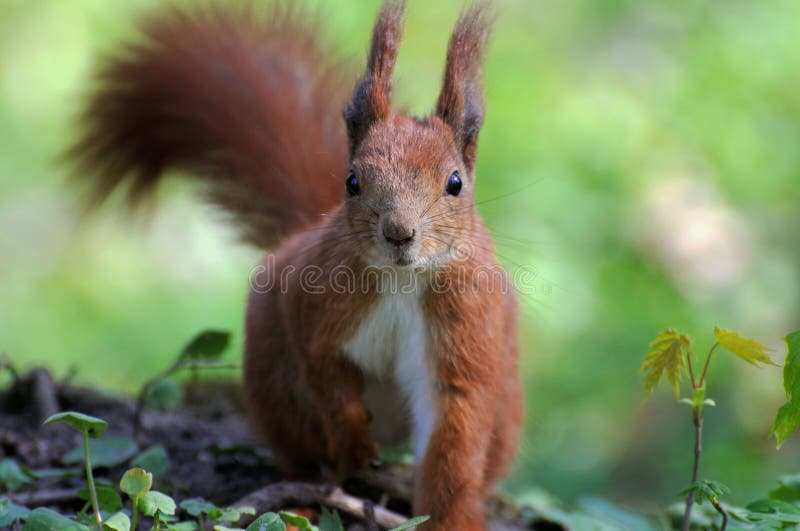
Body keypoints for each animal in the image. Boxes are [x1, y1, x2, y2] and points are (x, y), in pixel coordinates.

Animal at [69, 1, 522, 529]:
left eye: (455, 183)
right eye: (351, 181)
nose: (398, 233)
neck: (401, 280)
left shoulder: (464, 338)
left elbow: (453, 447)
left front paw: (449, 517)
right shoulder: (317, 305)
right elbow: (325, 368)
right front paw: (353, 437)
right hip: (276, 382)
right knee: (303, 459)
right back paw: (305, 498)